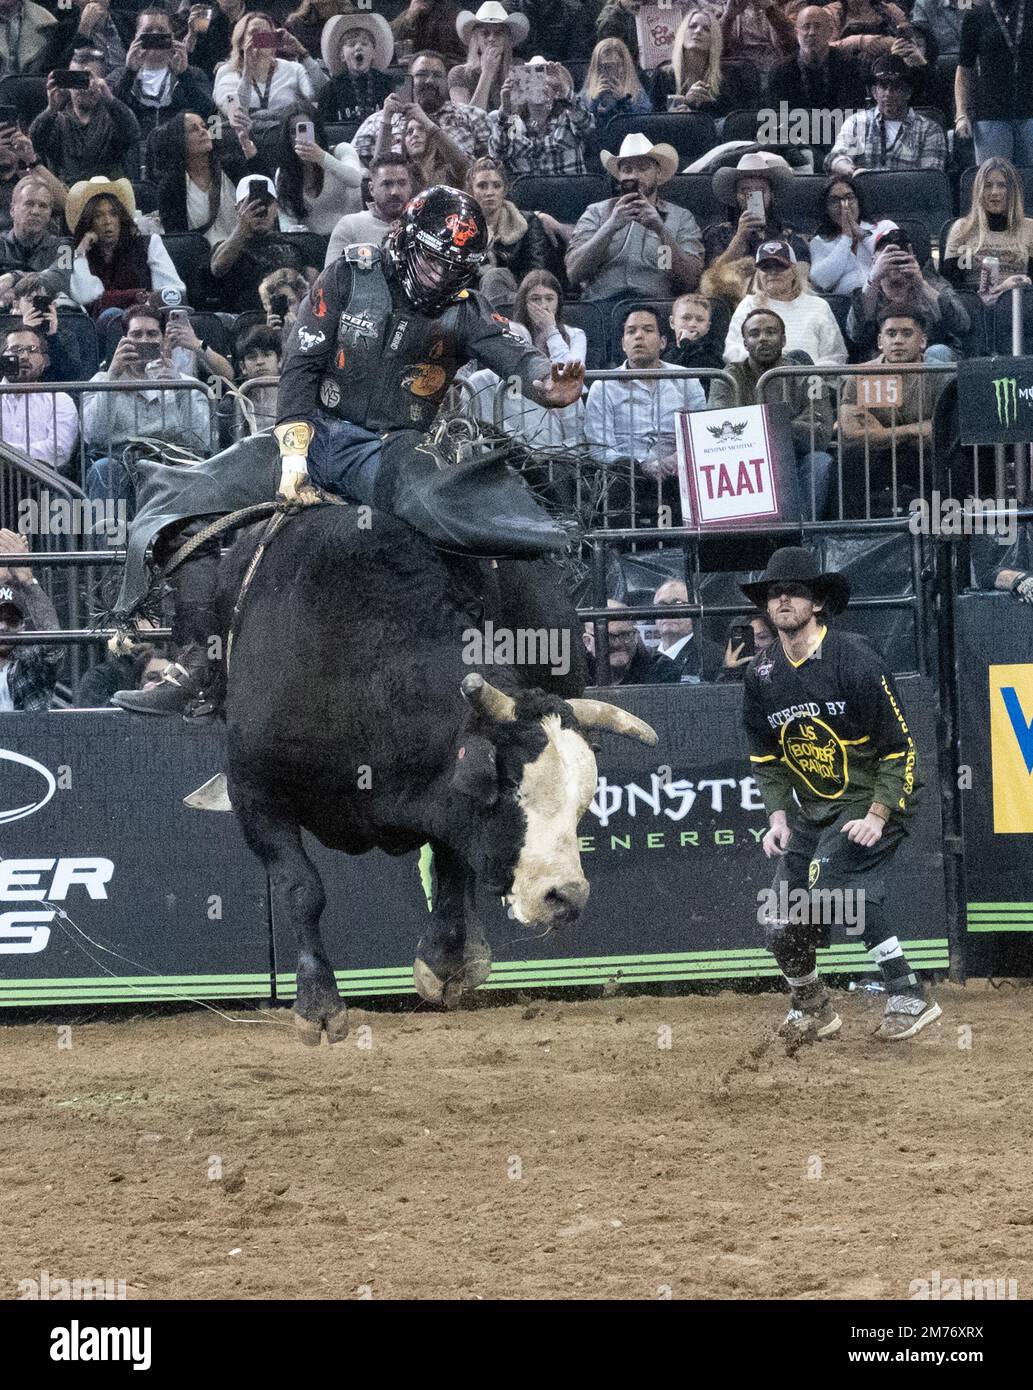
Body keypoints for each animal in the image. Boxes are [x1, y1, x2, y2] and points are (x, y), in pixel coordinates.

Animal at [201, 504, 657, 1044]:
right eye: (510, 789)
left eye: (582, 804)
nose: (565, 897)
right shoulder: (255, 793)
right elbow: (301, 889)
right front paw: (318, 1004)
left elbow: (453, 866)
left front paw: (446, 962)